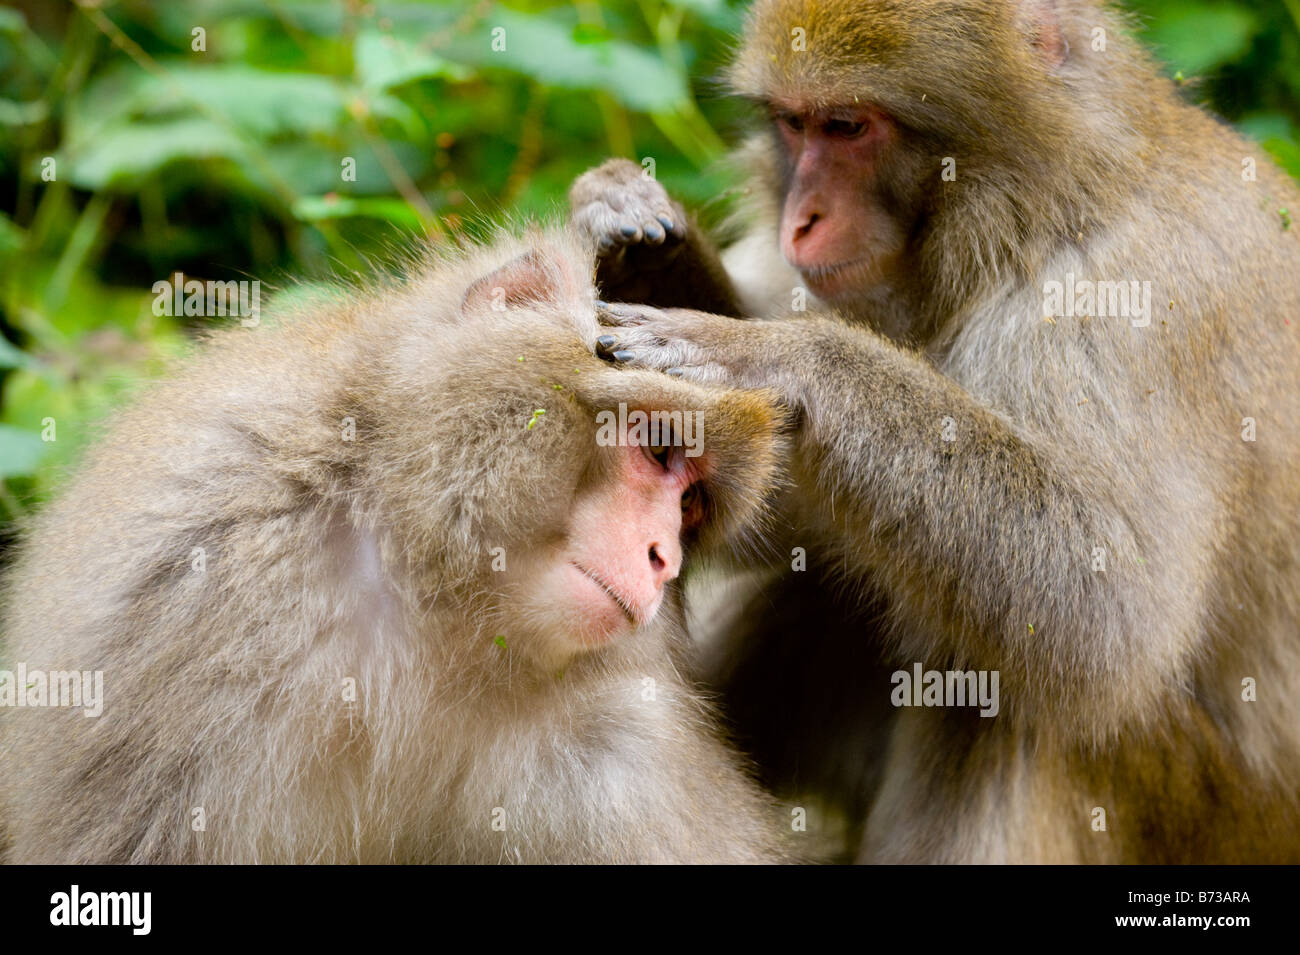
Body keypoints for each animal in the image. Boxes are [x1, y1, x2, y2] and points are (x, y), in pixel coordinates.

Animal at [0, 227, 794, 864]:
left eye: (690, 505)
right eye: (660, 452)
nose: (664, 558)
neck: (434, 598)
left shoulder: (618, 750)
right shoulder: (196, 584)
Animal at [570, 0, 1300, 863]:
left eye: (848, 127)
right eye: (792, 125)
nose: (799, 223)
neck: (1044, 210)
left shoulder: (1141, 296)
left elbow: (1111, 612)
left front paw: (780, 357)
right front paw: (628, 227)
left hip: (1218, 816)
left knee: (1010, 694)